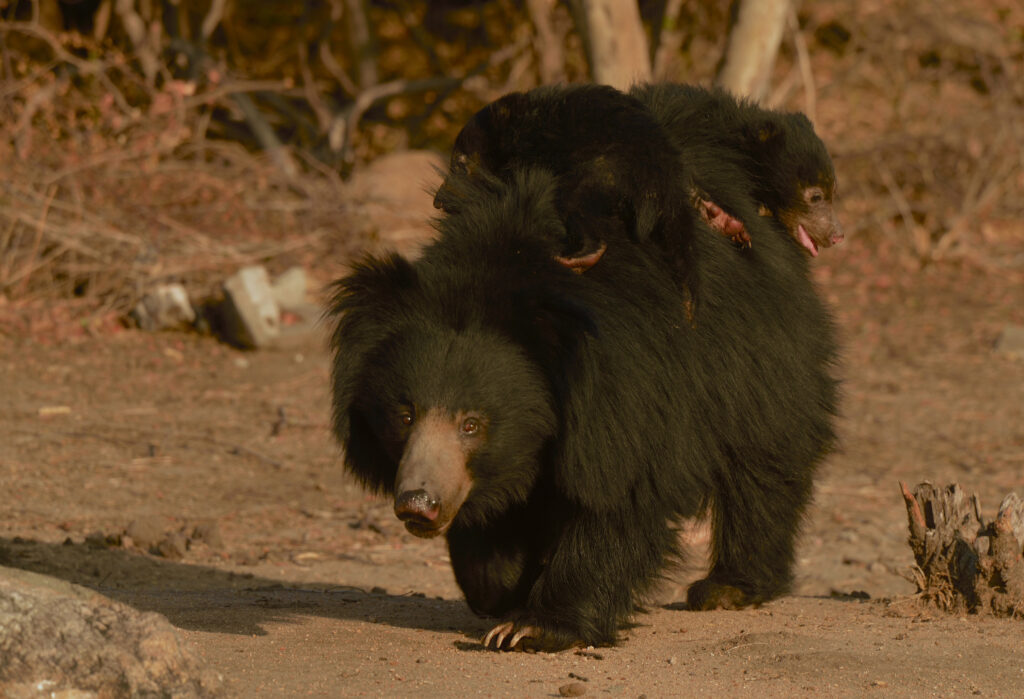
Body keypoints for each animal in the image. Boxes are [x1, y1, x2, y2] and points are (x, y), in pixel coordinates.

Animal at [329, 160, 839, 651]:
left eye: (471, 425)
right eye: (405, 415)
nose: (418, 505)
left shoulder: (629, 388)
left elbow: (620, 495)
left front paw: (531, 628)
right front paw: (504, 585)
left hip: (758, 362)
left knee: (763, 468)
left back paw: (728, 587)